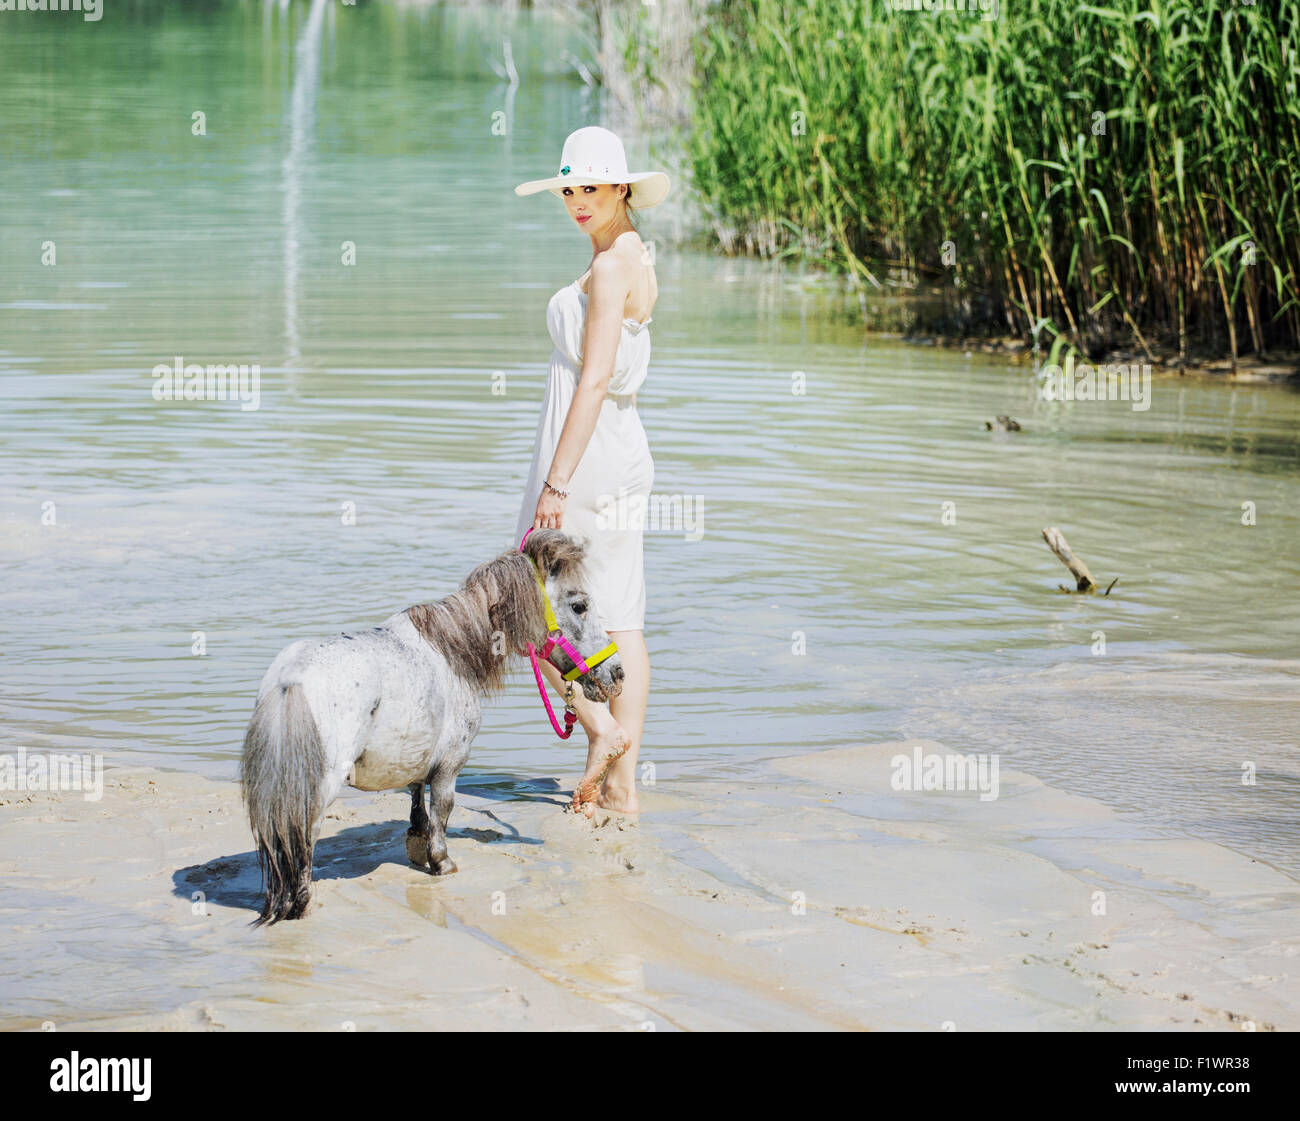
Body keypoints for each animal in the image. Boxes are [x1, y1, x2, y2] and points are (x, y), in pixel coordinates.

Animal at [237, 529, 624, 925]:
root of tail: (290, 680)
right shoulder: (449, 765)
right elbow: (442, 808)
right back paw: (301, 903)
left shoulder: (418, 754)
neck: (451, 650)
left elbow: (415, 796)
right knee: (304, 832)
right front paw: (441, 861)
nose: (617, 673)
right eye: (579, 606)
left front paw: (415, 842)